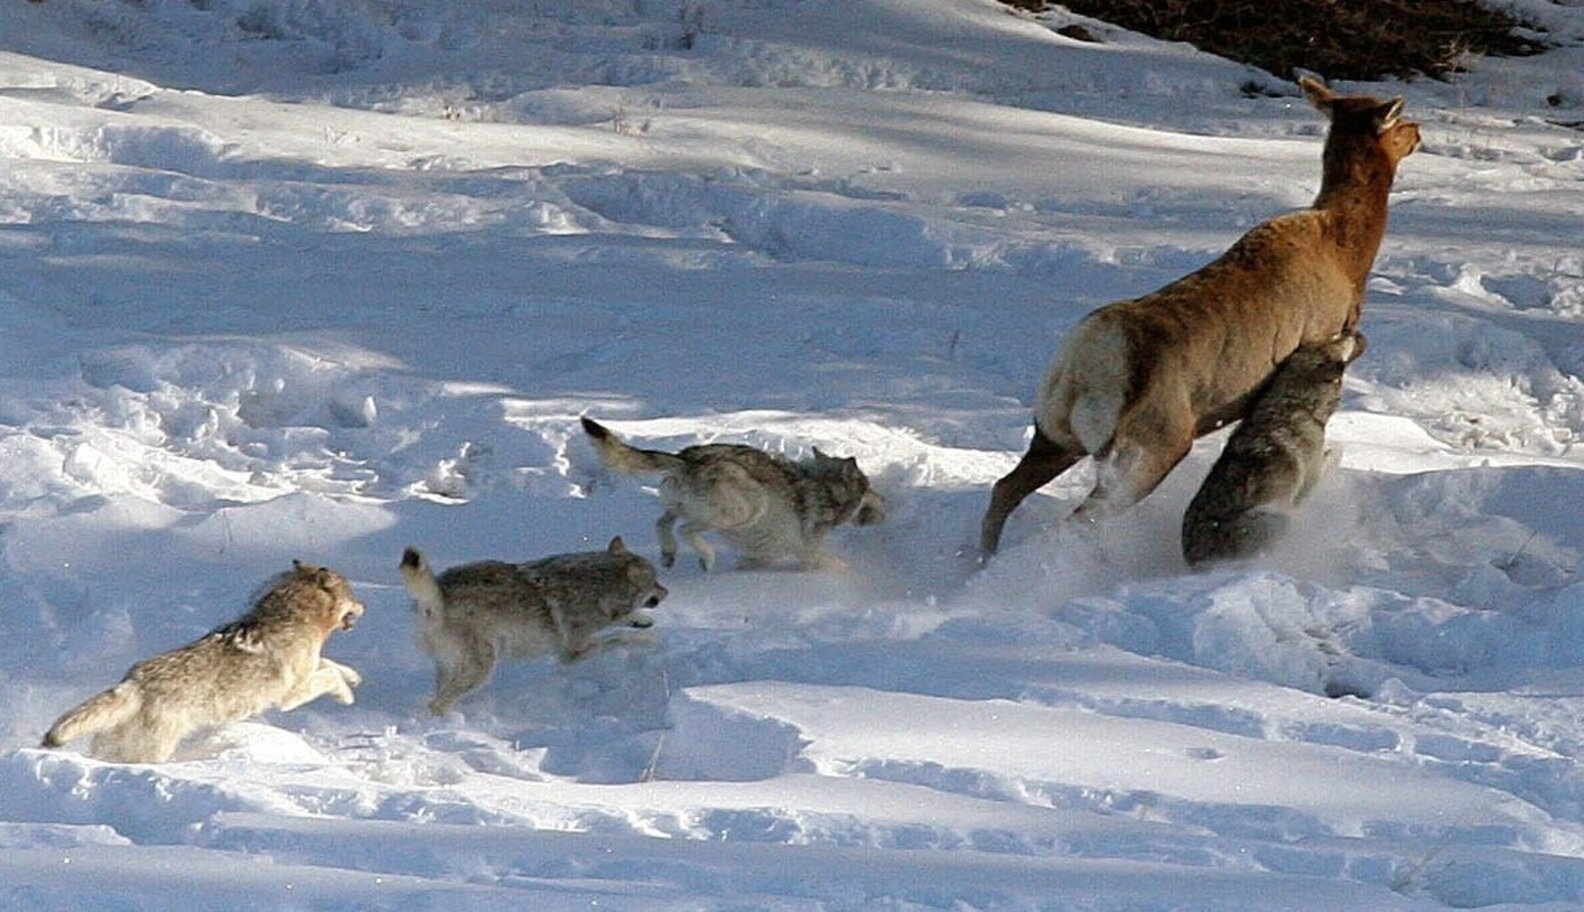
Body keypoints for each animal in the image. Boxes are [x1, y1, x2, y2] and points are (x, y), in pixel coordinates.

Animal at [40, 561, 365, 763]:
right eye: (353, 595)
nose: (365, 605)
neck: (294, 617)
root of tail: (134, 682)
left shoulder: (310, 669)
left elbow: (330, 664)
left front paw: (353, 677)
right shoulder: (292, 694)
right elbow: (329, 675)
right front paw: (346, 695)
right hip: (155, 749)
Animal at [400, 537, 667, 715]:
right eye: (655, 582)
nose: (667, 592)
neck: (597, 587)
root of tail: (439, 594)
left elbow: (623, 620)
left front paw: (642, 621)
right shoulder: (571, 654)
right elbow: (619, 636)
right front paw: (650, 640)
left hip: (453, 667)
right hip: (481, 669)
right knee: (437, 704)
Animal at [580, 417, 885, 572]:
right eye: (869, 487)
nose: (886, 502)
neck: (825, 490)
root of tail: (687, 458)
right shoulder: (808, 551)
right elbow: (830, 563)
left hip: (681, 504)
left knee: (663, 522)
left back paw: (669, 555)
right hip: (748, 507)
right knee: (685, 530)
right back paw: (706, 558)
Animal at [1181, 330, 1366, 567]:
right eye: (1337, 342)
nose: (1353, 332)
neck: (1298, 404)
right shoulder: (1308, 483)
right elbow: (1335, 453)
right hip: (1276, 518)